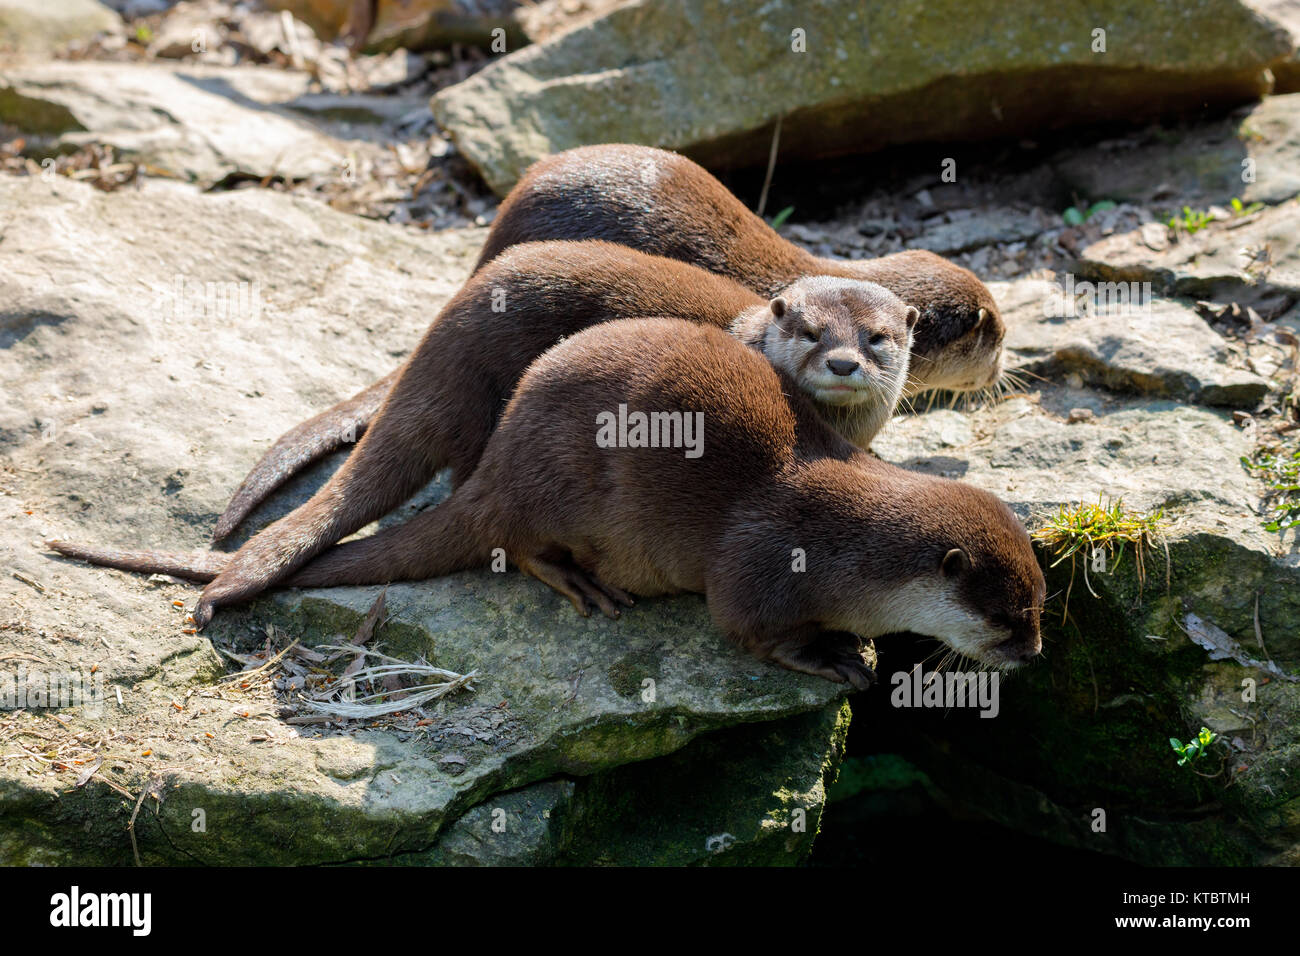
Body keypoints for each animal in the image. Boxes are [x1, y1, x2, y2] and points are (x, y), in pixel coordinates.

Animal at [50, 318, 1042, 686]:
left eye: (1040, 605)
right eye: (1004, 617)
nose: (1033, 652)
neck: (849, 545)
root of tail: (495, 463)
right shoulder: (765, 562)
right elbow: (747, 630)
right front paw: (837, 656)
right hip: (555, 493)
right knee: (520, 545)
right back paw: (582, 586)